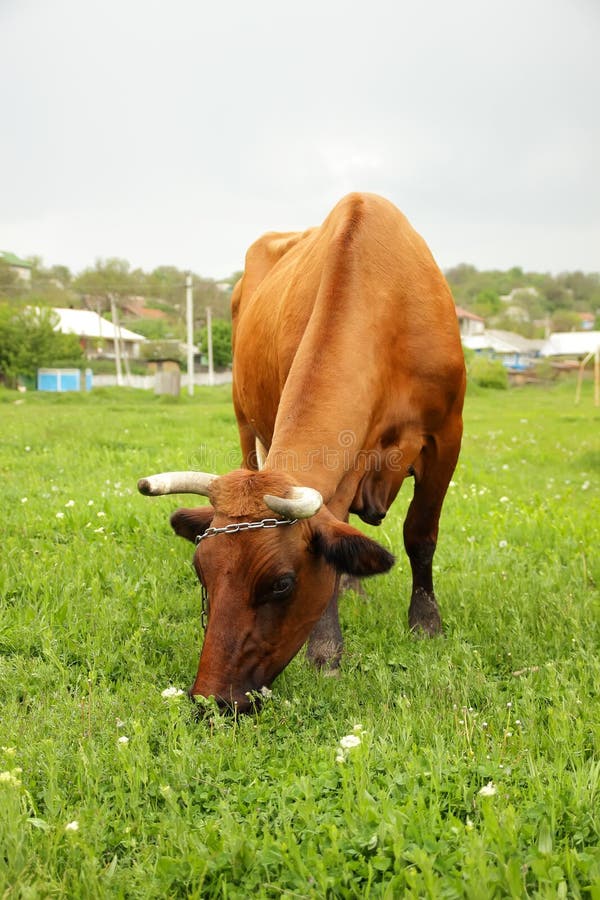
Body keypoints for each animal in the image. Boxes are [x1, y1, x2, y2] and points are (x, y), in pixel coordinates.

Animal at [138, 192, 466, 712]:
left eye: (281, 583)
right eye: (201, 575)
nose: (212, 700)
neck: (386, 303)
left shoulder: (446, 435)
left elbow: (420, 534)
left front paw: (425, 624)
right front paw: (327, 652)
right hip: (244, 420)